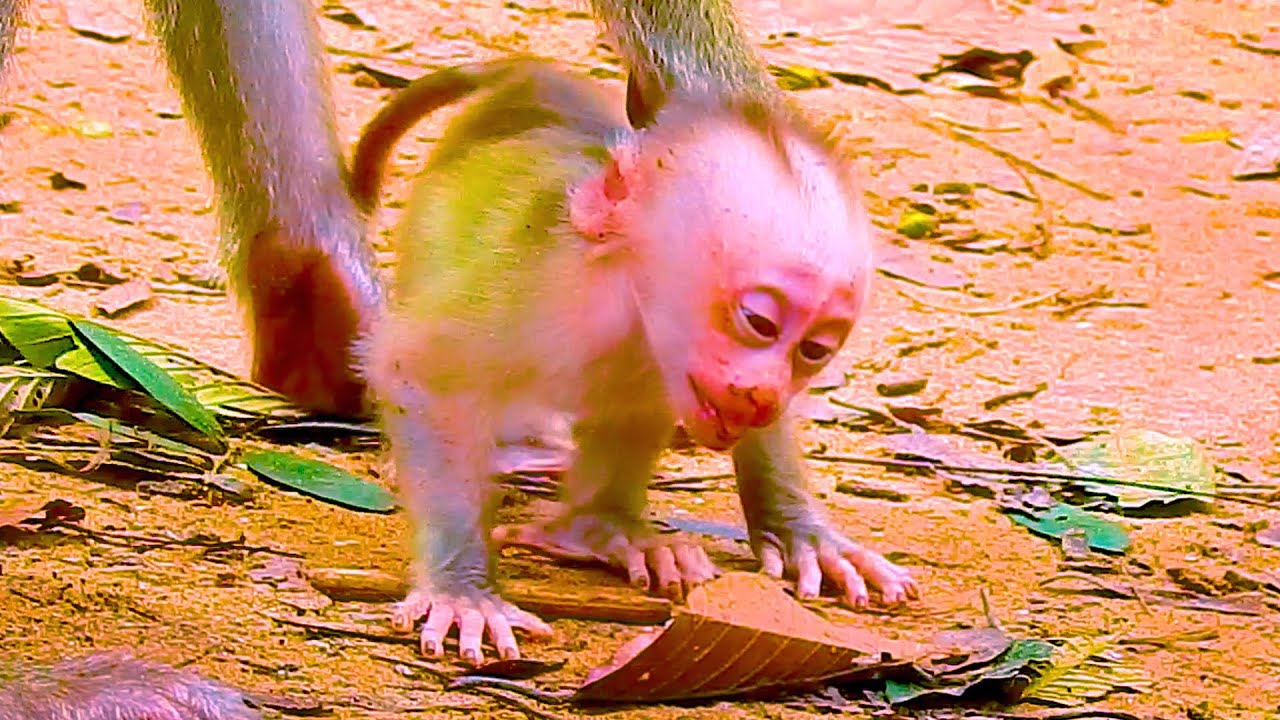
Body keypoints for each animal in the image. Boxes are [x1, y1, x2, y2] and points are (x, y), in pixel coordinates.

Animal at [348, 0, 918, 663]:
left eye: (814, 350)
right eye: (759, 321)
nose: (764, 392)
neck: (628, 310)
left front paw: (798, 529)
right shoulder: (520, 297)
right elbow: (419, 374)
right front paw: (464, 589)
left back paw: (600, 529)